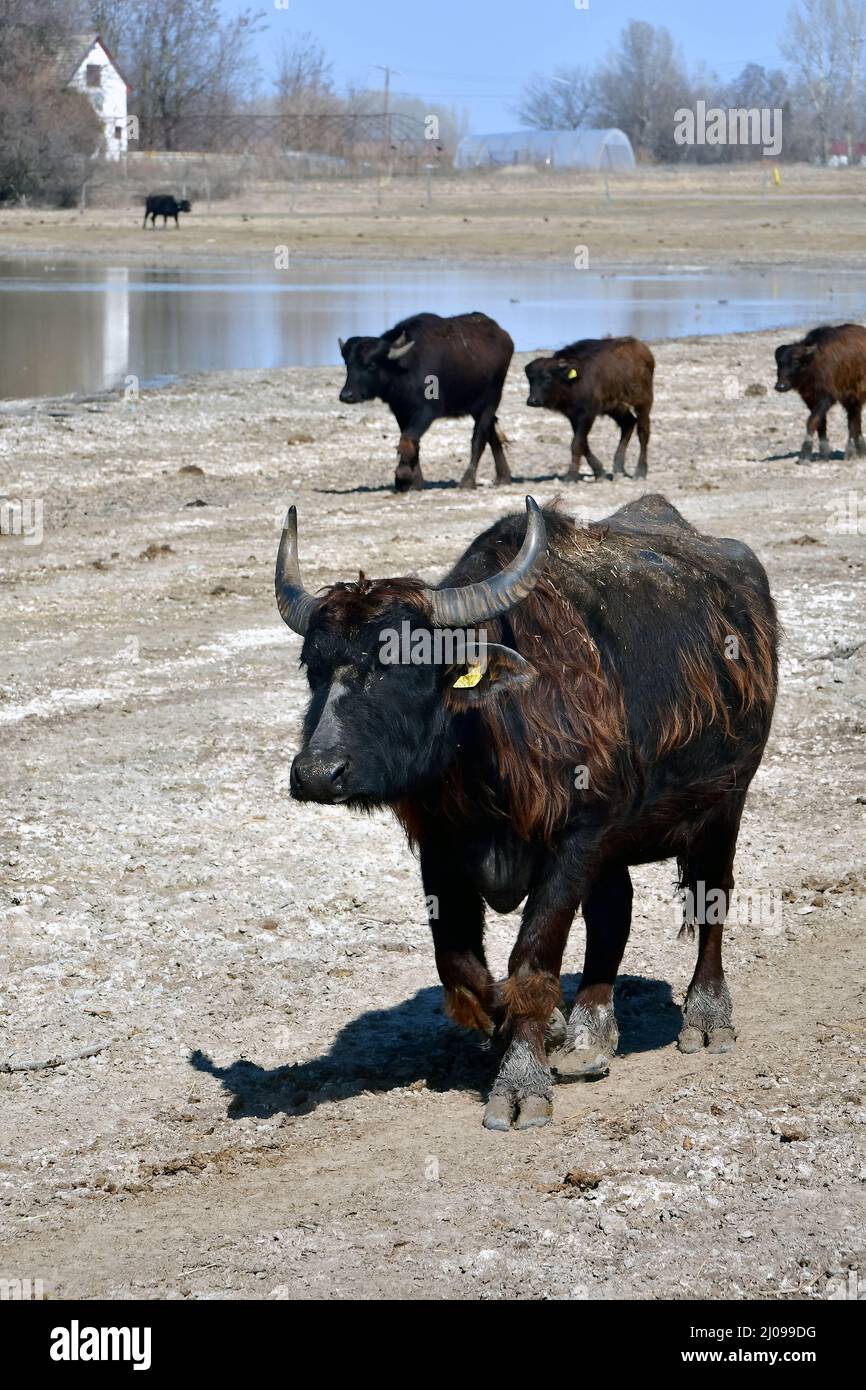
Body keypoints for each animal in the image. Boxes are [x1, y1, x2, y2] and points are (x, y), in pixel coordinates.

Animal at [276, 493, 778, 1131]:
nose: (317, 773)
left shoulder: (576, 837)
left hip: (725, 802)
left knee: (712, 898)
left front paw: (521, 1080)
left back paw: (708, 1019)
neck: (489, 738)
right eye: (314, 667)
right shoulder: (441, 847)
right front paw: (545, 1029)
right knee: (613, 912)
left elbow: (532, 958)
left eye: (401, 664)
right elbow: (462, 966)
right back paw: (590, 1034)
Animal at [338, 311, 514, 492]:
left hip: (490, 402)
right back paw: (503, 477)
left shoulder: (427, 411)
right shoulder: (400, 411)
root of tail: (503, 336)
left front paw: (403, 476)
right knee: (492, 435)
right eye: (348, 364)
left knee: (479, 439)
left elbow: (408, 438)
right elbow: (412, 441)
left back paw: (468, 480)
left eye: (371, 365)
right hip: (477, 407)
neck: (403, 369)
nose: (346, 395)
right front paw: (414, 482)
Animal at [525, 336, 655, 480]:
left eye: (547, 378)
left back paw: (640, 472)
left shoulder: (587, 414)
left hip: (644, 403)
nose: (532, 401)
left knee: (643, 433)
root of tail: (642, 349)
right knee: (628, 423)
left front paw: (571, 476)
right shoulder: (573, 416)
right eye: (530, 379)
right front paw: (600, 472)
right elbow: (583, 444)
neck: (572, 381)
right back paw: (618, 469)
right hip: (616, 408)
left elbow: (576, 444)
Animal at [774, 323, 866, 461]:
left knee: (853, 421)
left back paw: (850, 452)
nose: (781, 386)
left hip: (854, 395)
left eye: (796, 362)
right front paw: (823, 453)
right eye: (779, 363)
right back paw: (859, 450)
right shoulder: (810, 399)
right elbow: (821, 423)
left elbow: (812, 421)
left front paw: (805, 454)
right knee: (855, 418)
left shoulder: (826, 398)